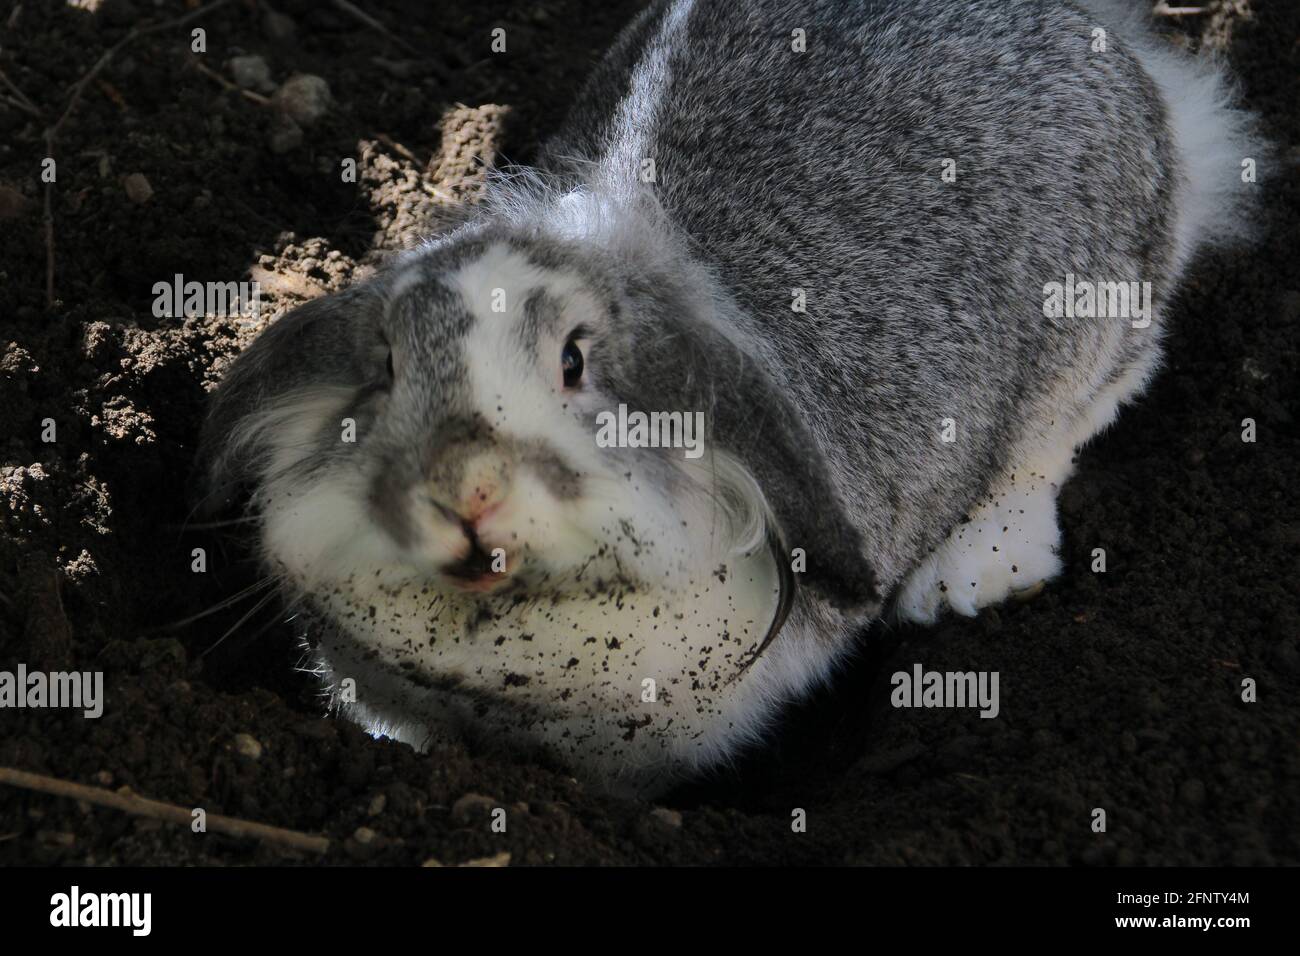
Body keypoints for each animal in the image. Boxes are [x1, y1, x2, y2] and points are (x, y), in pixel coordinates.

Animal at [197, 0, 1262, 795]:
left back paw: (976, 571)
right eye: (383, 366)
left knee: (1067, 423)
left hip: (1101, 316)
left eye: (576, 363)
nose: (466, 491)